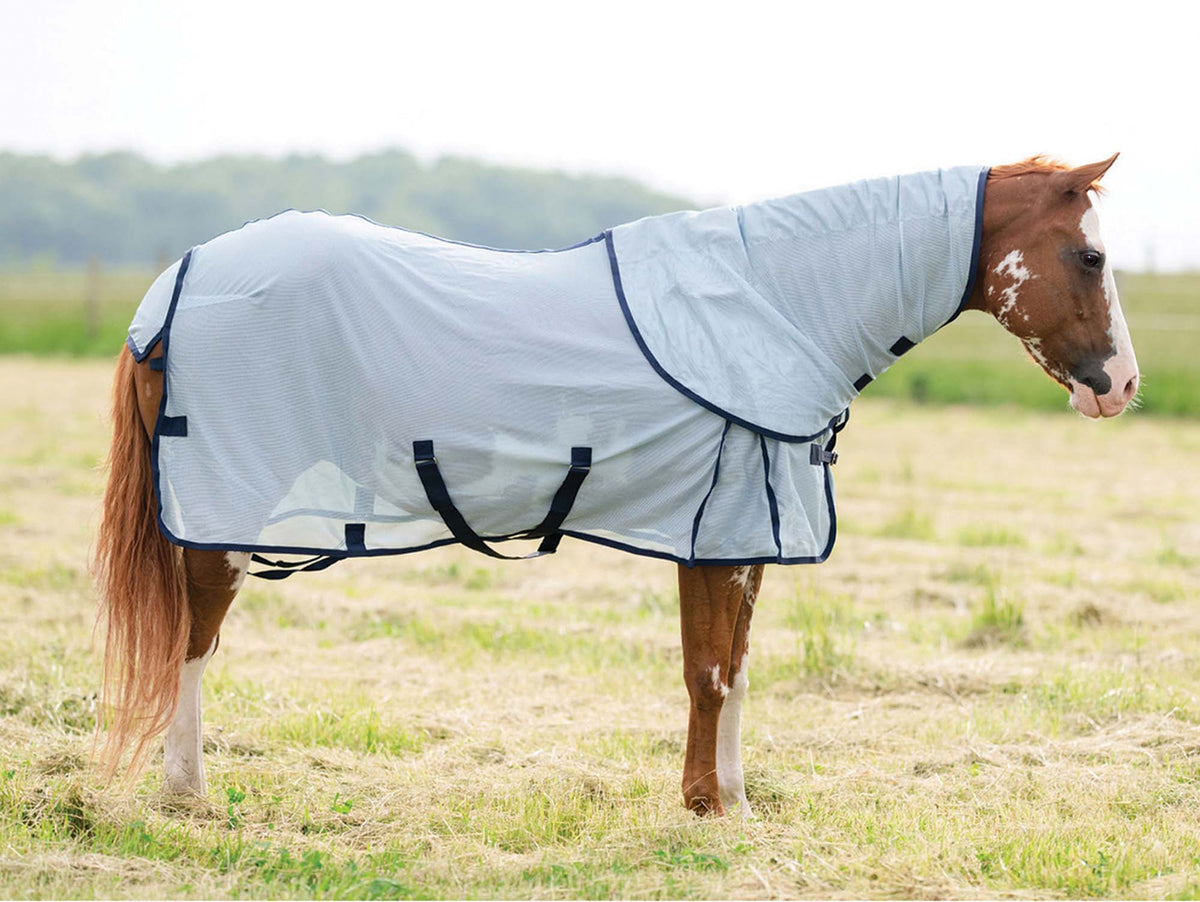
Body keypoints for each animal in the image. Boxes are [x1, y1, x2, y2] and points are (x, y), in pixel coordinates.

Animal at [93, 154, 1138, 817]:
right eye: (1089, 256)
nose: (1122, 387)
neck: (772, 303)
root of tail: (172, 288)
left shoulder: (747, 533)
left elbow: (738, 670)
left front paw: (733, 800)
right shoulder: (715, 531)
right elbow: (708, 671)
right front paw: (712, 808)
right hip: (226, 504)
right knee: (192, 637)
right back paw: (186, 792)